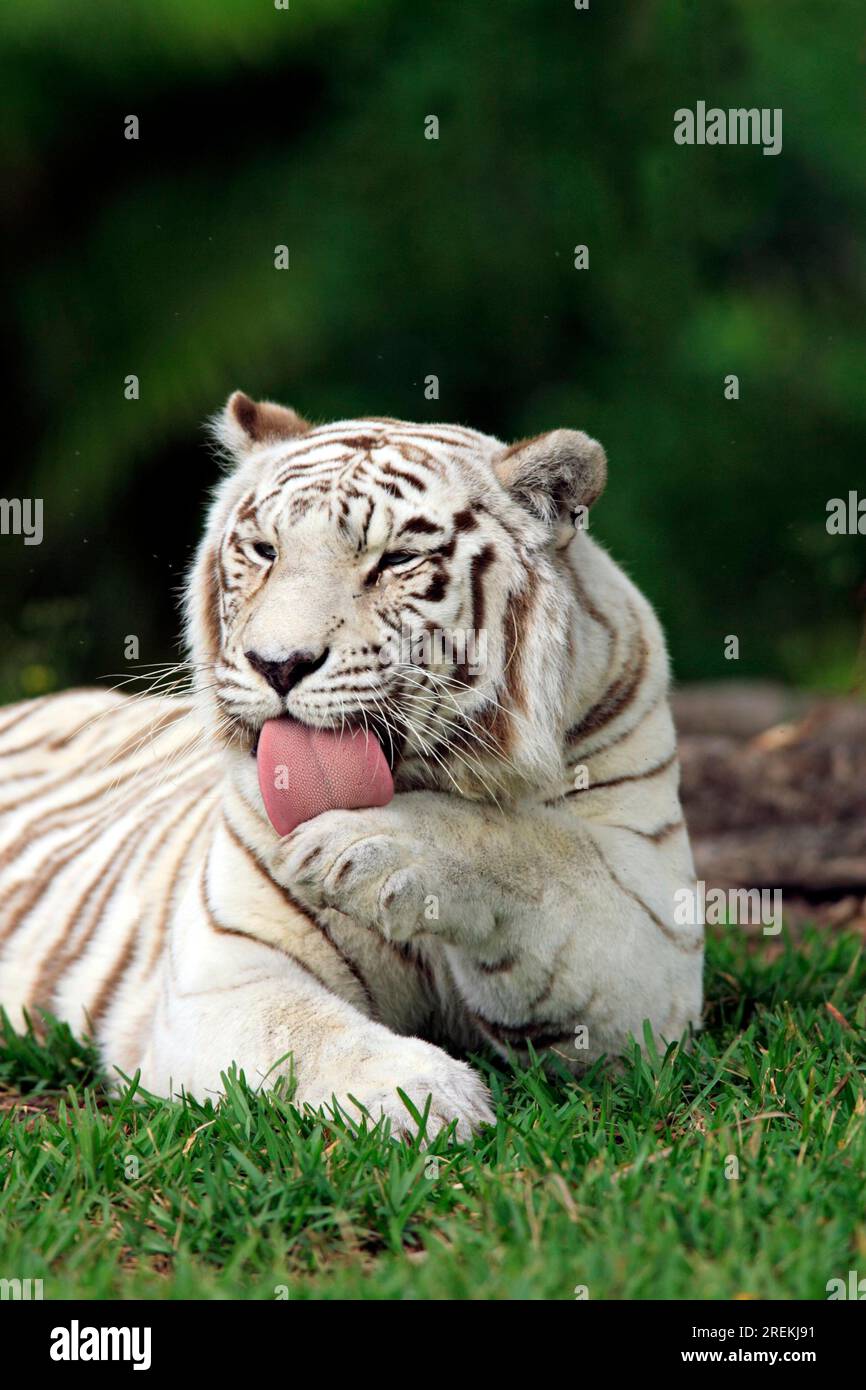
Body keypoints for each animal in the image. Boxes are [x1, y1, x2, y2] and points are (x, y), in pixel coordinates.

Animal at [0, 392, 703, 1137]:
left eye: (395, 561)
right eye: (265, 551)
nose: (278, 664)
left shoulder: (655, 948)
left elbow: (541, 857)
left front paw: (367, 845)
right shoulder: (226, 969)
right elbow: (302, 1030)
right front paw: (426, 1092)